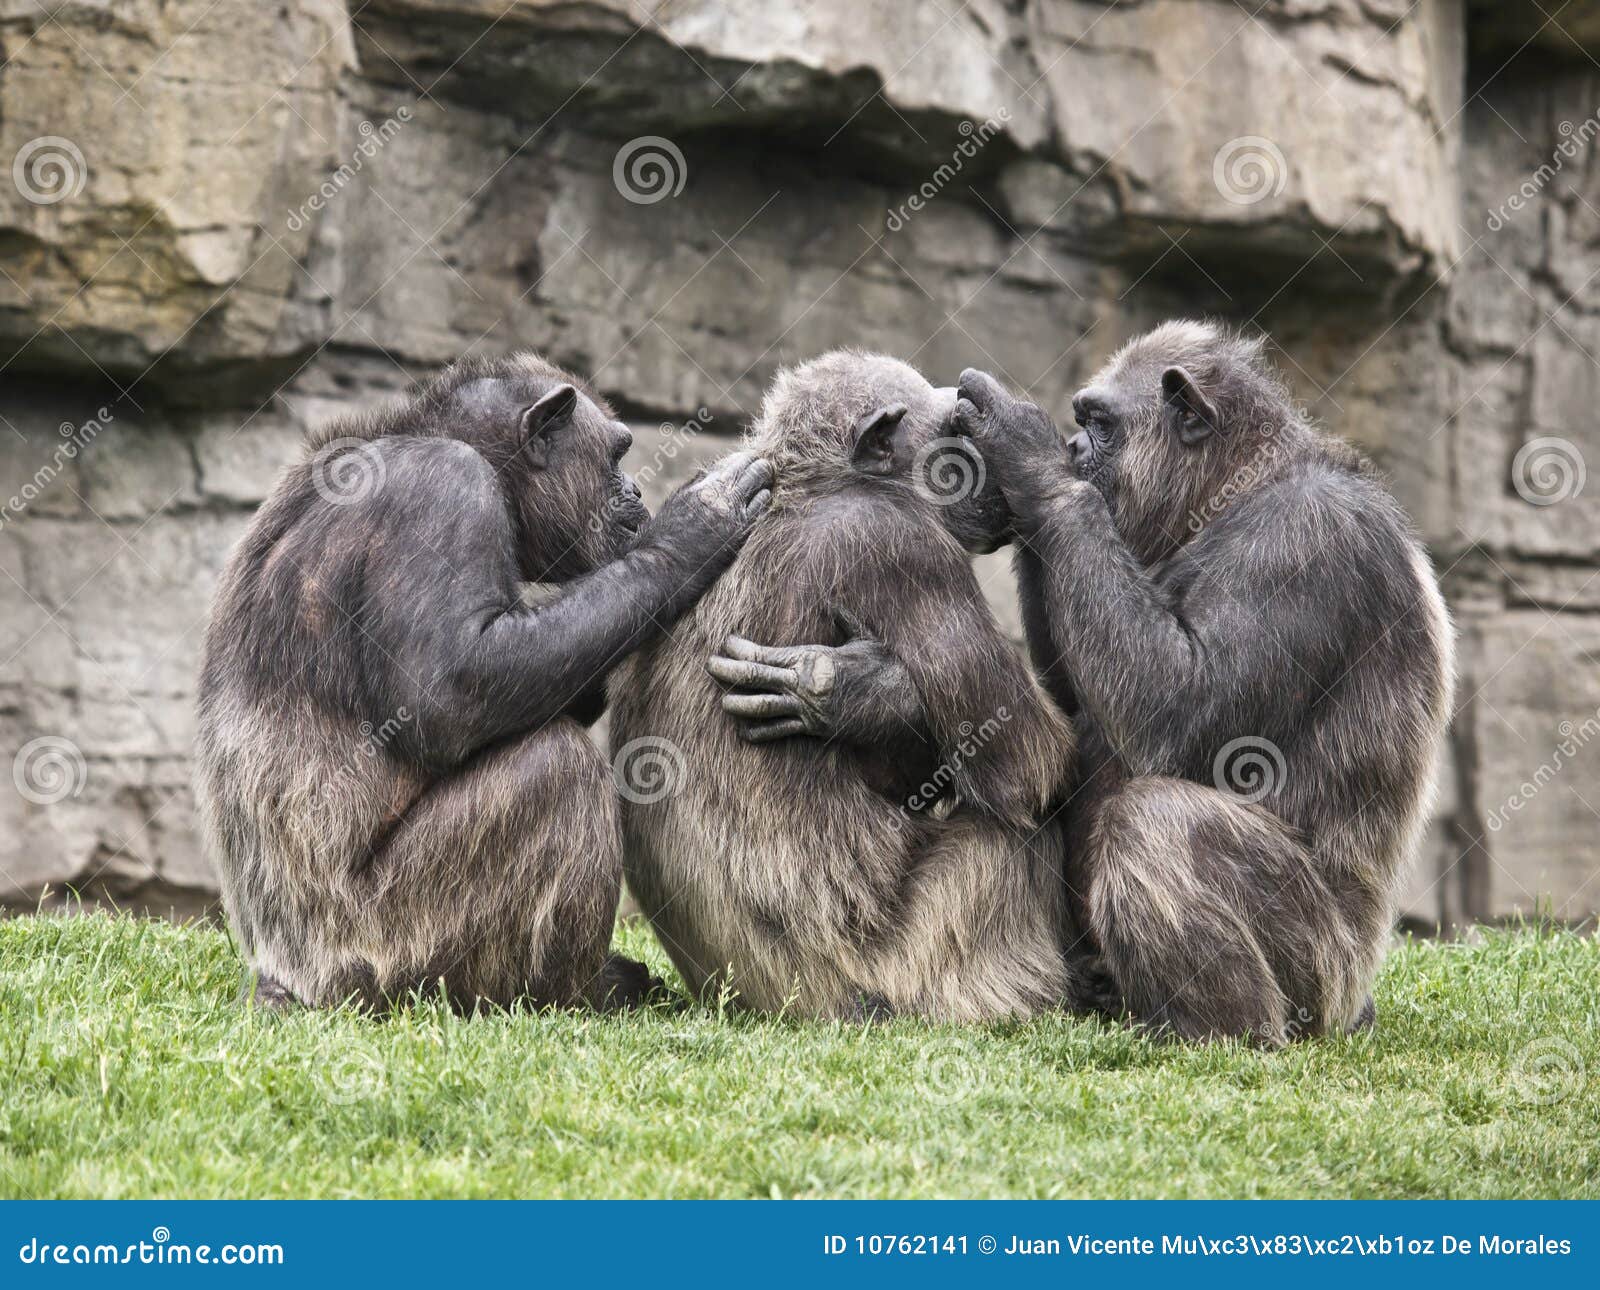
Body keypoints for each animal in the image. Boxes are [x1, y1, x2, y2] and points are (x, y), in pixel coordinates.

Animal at [193, 351, 773, 1012]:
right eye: (619, 453)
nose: (634, 488)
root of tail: (285, 981)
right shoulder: (444, 491)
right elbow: (454, 686)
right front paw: (689, 535)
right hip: (392, 945)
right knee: (556, 770)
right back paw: (582, 993)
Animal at [607, 350, 1084, 1023]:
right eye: (957, 433)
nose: (992, 479)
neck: (813, 481)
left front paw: (858, 693)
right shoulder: (902, 543)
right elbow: (1027, 758)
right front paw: (869, 691)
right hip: (912, 978)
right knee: (1019, 831)